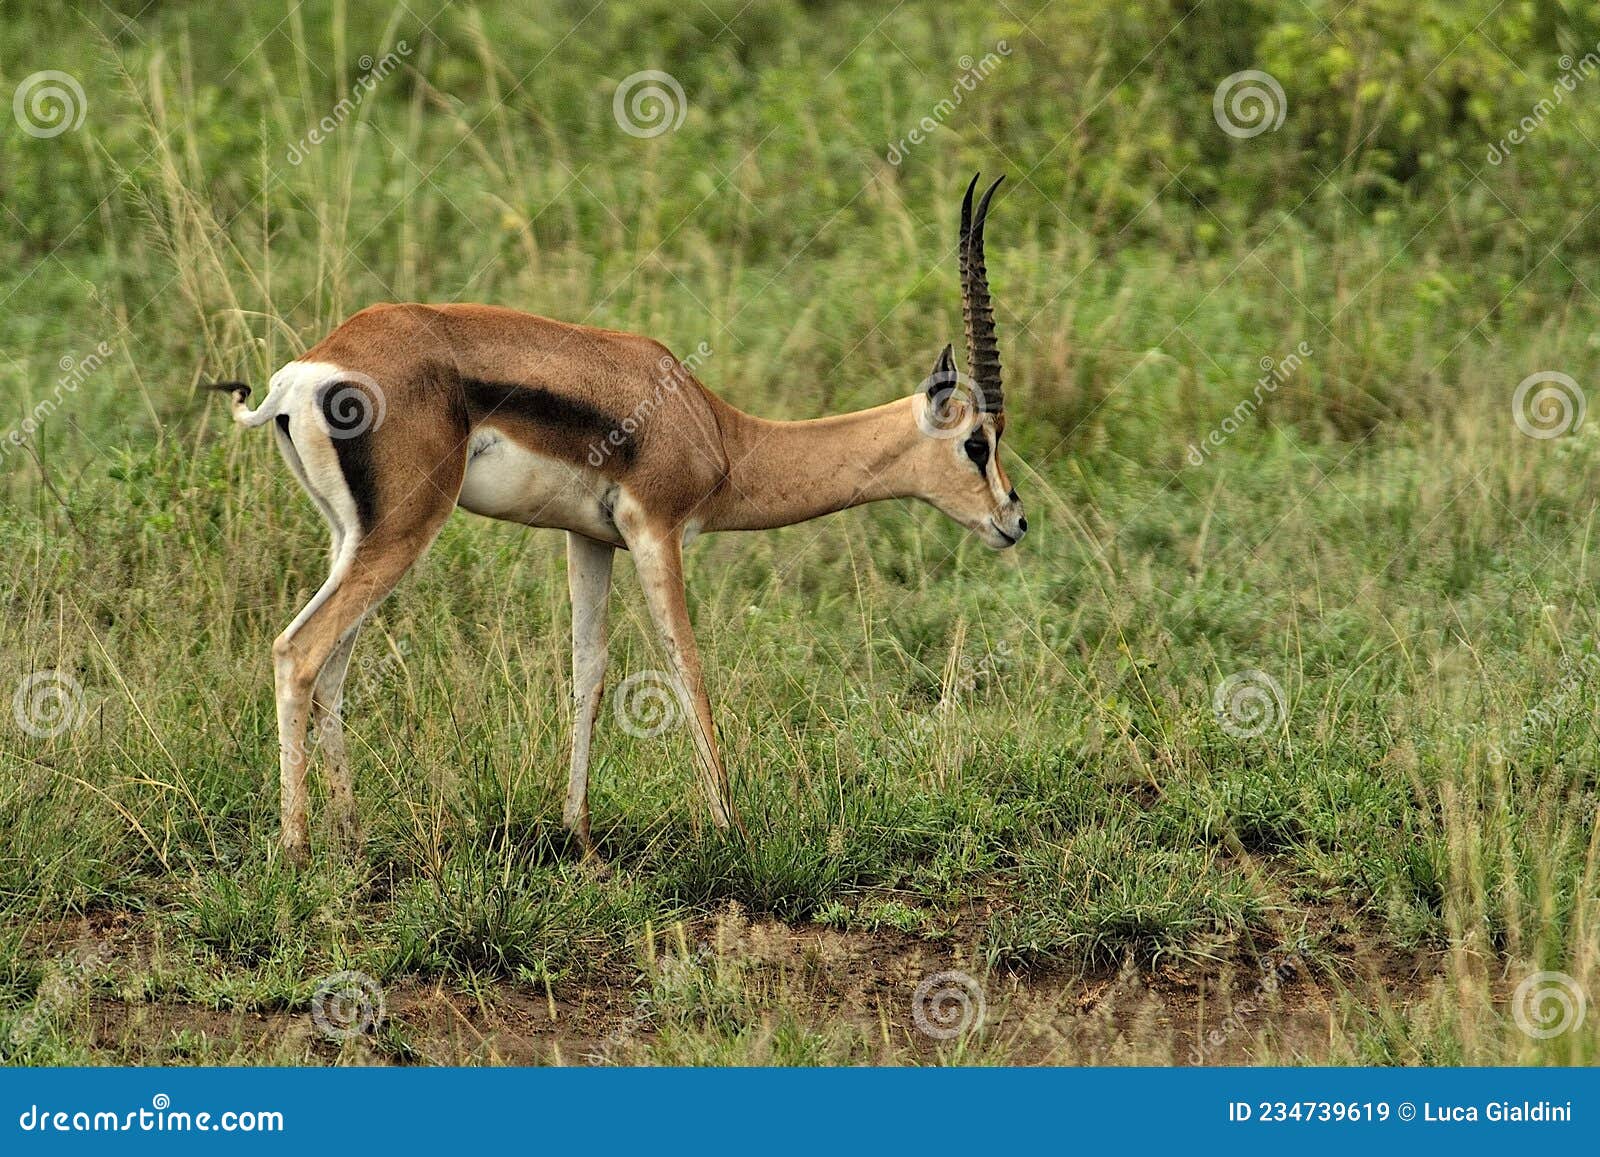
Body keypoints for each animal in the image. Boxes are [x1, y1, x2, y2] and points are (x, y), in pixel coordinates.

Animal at [213, 174, 1024, 863]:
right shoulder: (656, 531)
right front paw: (729, 827)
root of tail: (306, 373)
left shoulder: (589, 539)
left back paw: (350, 838)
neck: (720, 431)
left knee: (332, 667)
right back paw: (297, 849)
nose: (1012, 521)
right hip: (405, 531)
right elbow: (686, 666)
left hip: (354, 537)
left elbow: (588, 671)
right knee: (298, 651)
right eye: (977, 442)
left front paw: (579, 834)